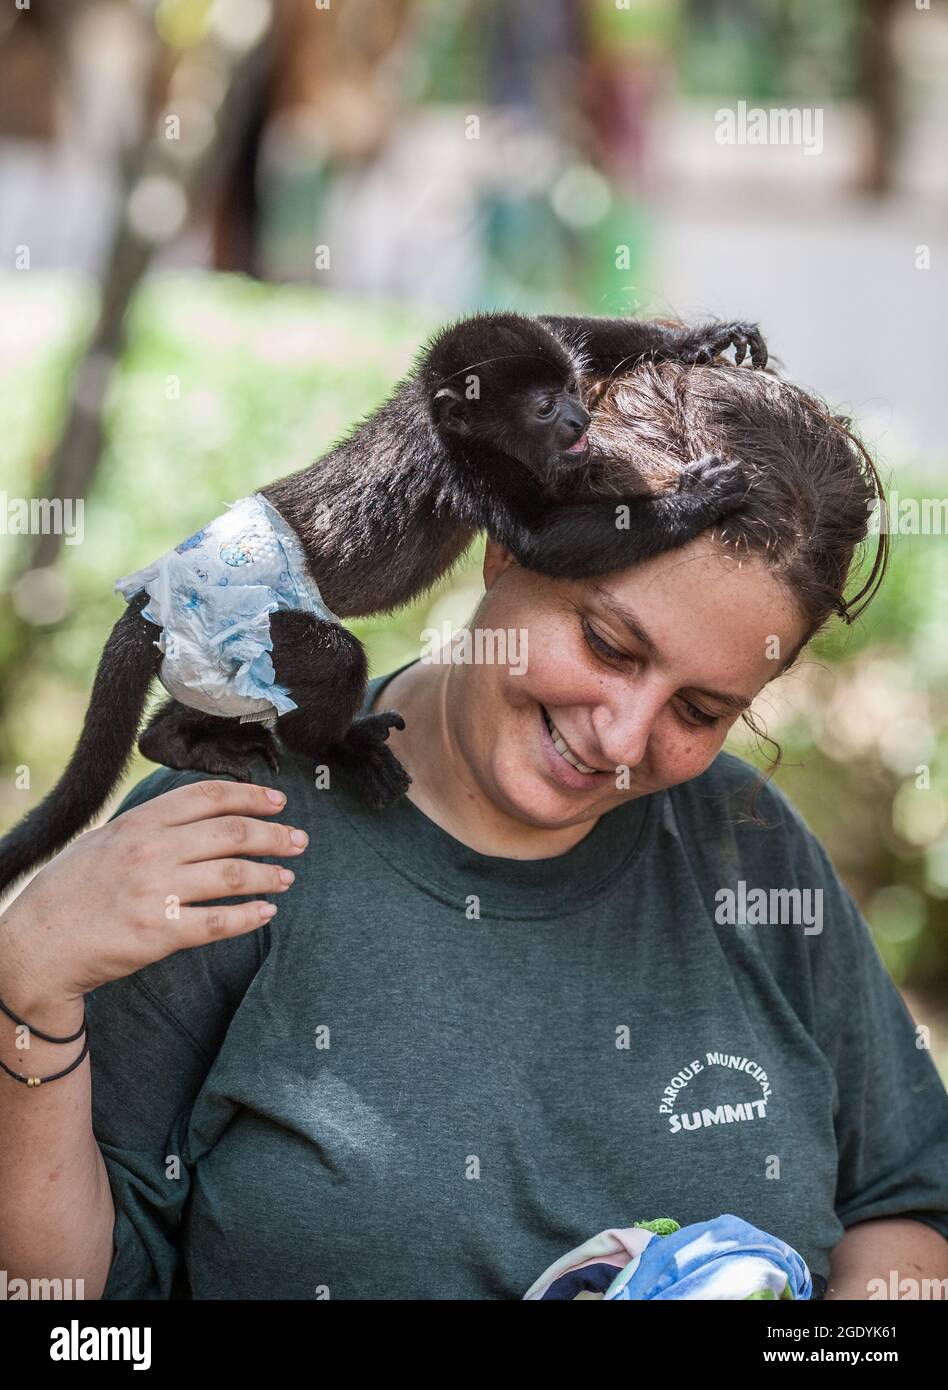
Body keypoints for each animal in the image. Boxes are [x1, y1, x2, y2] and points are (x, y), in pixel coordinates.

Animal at [0, 310, 766, 895]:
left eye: (572, 386)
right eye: (546, 408)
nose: (580, 416)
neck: (449, 424)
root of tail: (149, 600)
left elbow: (566, 326)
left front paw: (704, 338)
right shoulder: (463, 468)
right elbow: (545, 542)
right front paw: (698, 499)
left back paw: (172, 738)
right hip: (242, 621)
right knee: (334, 661)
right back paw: (338, 748)